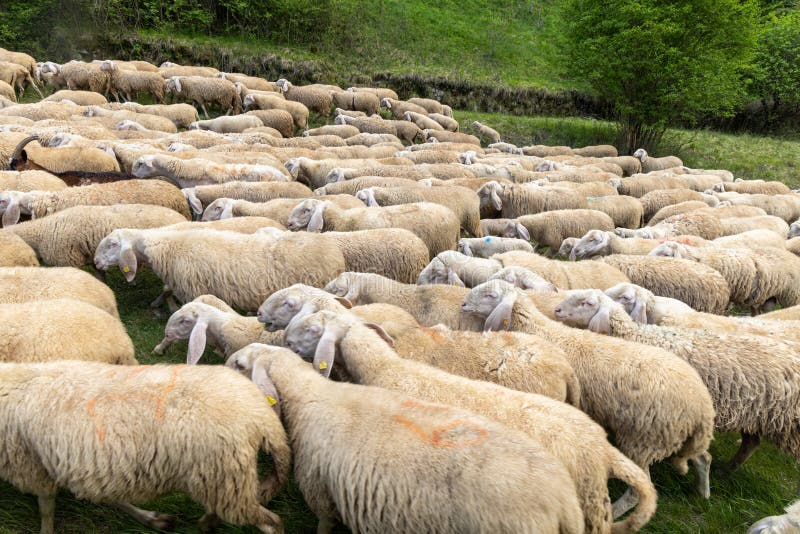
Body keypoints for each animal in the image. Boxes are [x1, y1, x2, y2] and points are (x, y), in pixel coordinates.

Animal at [0, 360, 289, 533]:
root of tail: (262, 418)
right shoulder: (93, 468)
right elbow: (112, 497)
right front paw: (152, 518)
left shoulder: (33, 467)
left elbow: (46, 510)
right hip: (224, 481)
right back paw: (206, 523)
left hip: (226, 479)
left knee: (272, 523)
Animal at [462, 280, 715, 516]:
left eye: (490, 295)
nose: (463, 304)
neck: (538, 327)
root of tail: (703, 408)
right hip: (676, 438)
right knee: (703, 457)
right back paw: (702, 493)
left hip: (645, 439)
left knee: (638, 489)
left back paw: (616, 512)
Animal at [554, 288, 800, 476]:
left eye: (587, 302)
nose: (556, 309)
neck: (639, 336)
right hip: (758, 415)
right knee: (751, 443)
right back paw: (728, 469)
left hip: (788, 426)